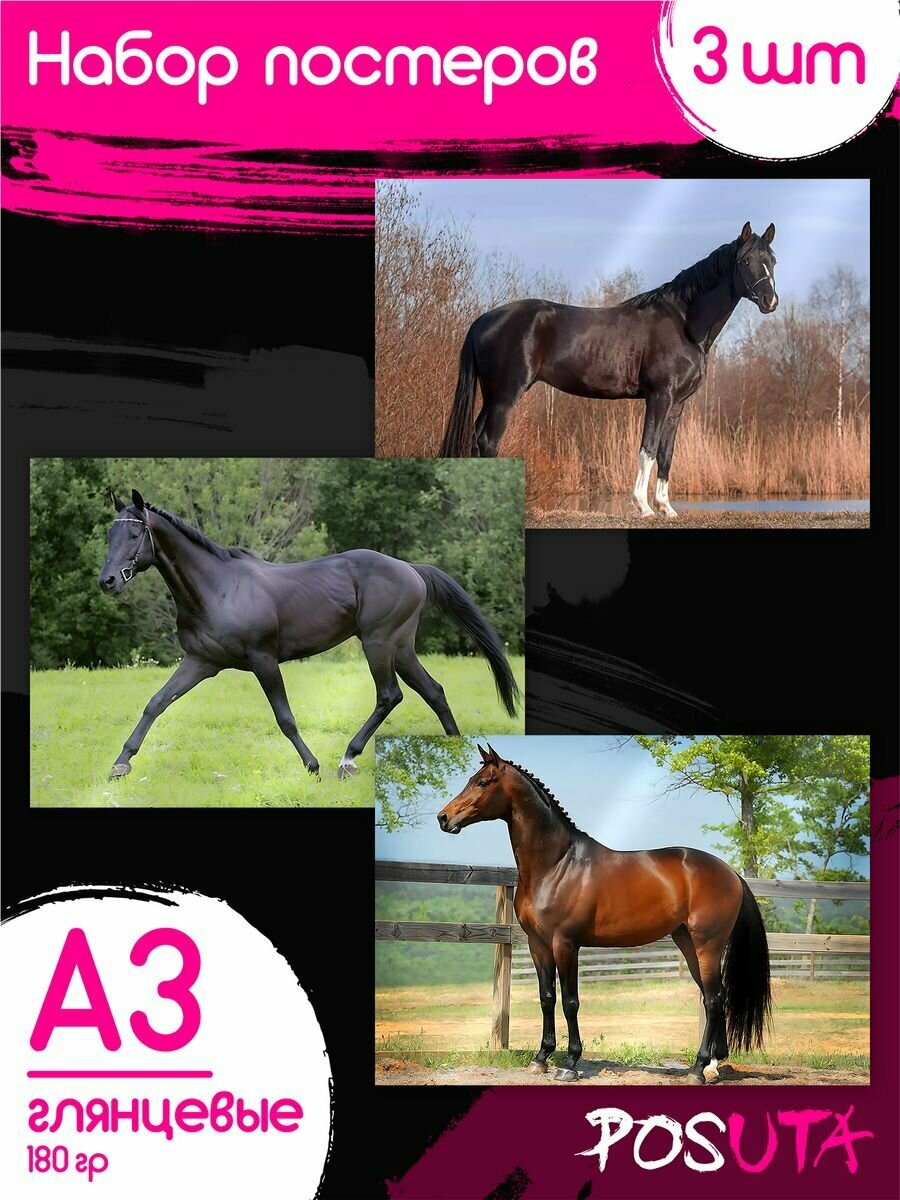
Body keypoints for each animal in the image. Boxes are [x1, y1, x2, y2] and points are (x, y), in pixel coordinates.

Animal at [98, 490, 519, 781]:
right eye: (109, 535)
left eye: (135, 534)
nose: (107, 581)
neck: (218, 589)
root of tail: (411, 569)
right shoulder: (201, 661)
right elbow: (155, 704)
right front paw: (120, 765)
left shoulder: (263, 660)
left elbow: (285, 718)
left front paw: (312, 765)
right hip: (401, 648)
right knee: (434, 692)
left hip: (379, 643)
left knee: (390, 695)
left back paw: (347, 758)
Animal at [437, 744, 771, 1084]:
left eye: (483, 782)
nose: (444, 817)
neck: (556, 864)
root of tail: (731, 873)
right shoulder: (537, 944)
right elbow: (547, 998)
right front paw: (541, 1057)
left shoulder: (565, 944)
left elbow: (570, 1002)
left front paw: (570, 1063)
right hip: (686, 942)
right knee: (713, 996)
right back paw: (714, 1064)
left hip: (707, 945)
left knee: (714, 1000)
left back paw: (698, 1069)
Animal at [439, 222, 778, 518]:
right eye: (746, 260)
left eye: (772, 261)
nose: (770, 301)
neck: (684, 323)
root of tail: (483, 319)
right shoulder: (659, 397)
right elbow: (648, 448)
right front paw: (643, 507)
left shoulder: (678, 403)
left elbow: (666, 453)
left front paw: (666, 508)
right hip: (505, 397)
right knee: (488, 443)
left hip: (491, 395)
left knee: (474, 440)